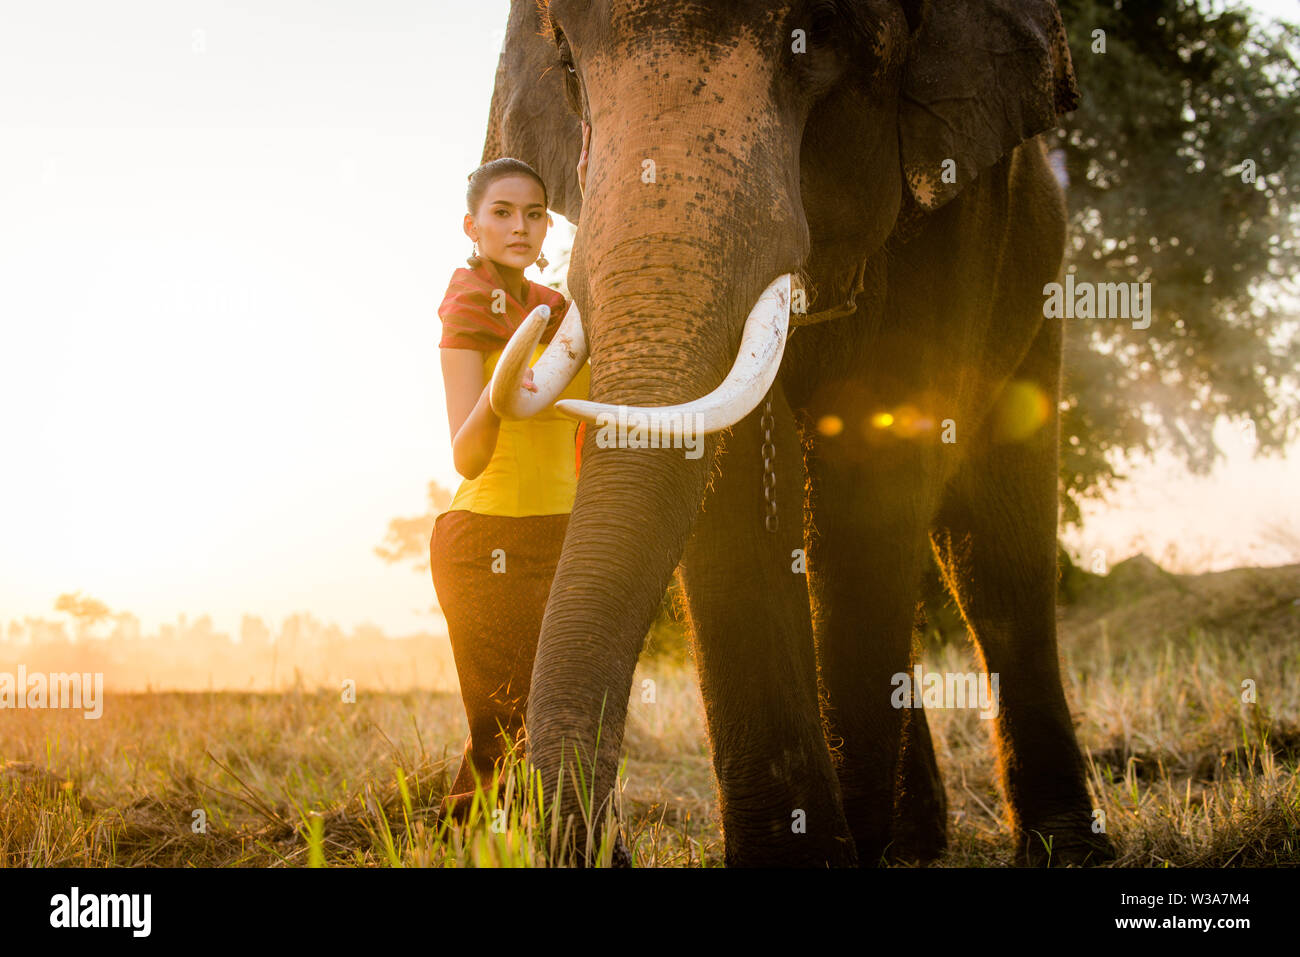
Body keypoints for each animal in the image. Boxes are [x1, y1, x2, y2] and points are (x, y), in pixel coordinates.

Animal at [478, 0, 1116, 867]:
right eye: (572, 71)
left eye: (810, 45)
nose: (608, 839)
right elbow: (738, 490)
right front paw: (810, 849)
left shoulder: (959, 209)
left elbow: (875, 465)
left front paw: (842, 844)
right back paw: (916, 840)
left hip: (1038, 286)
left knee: (995, 560)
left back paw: (1060, 847)